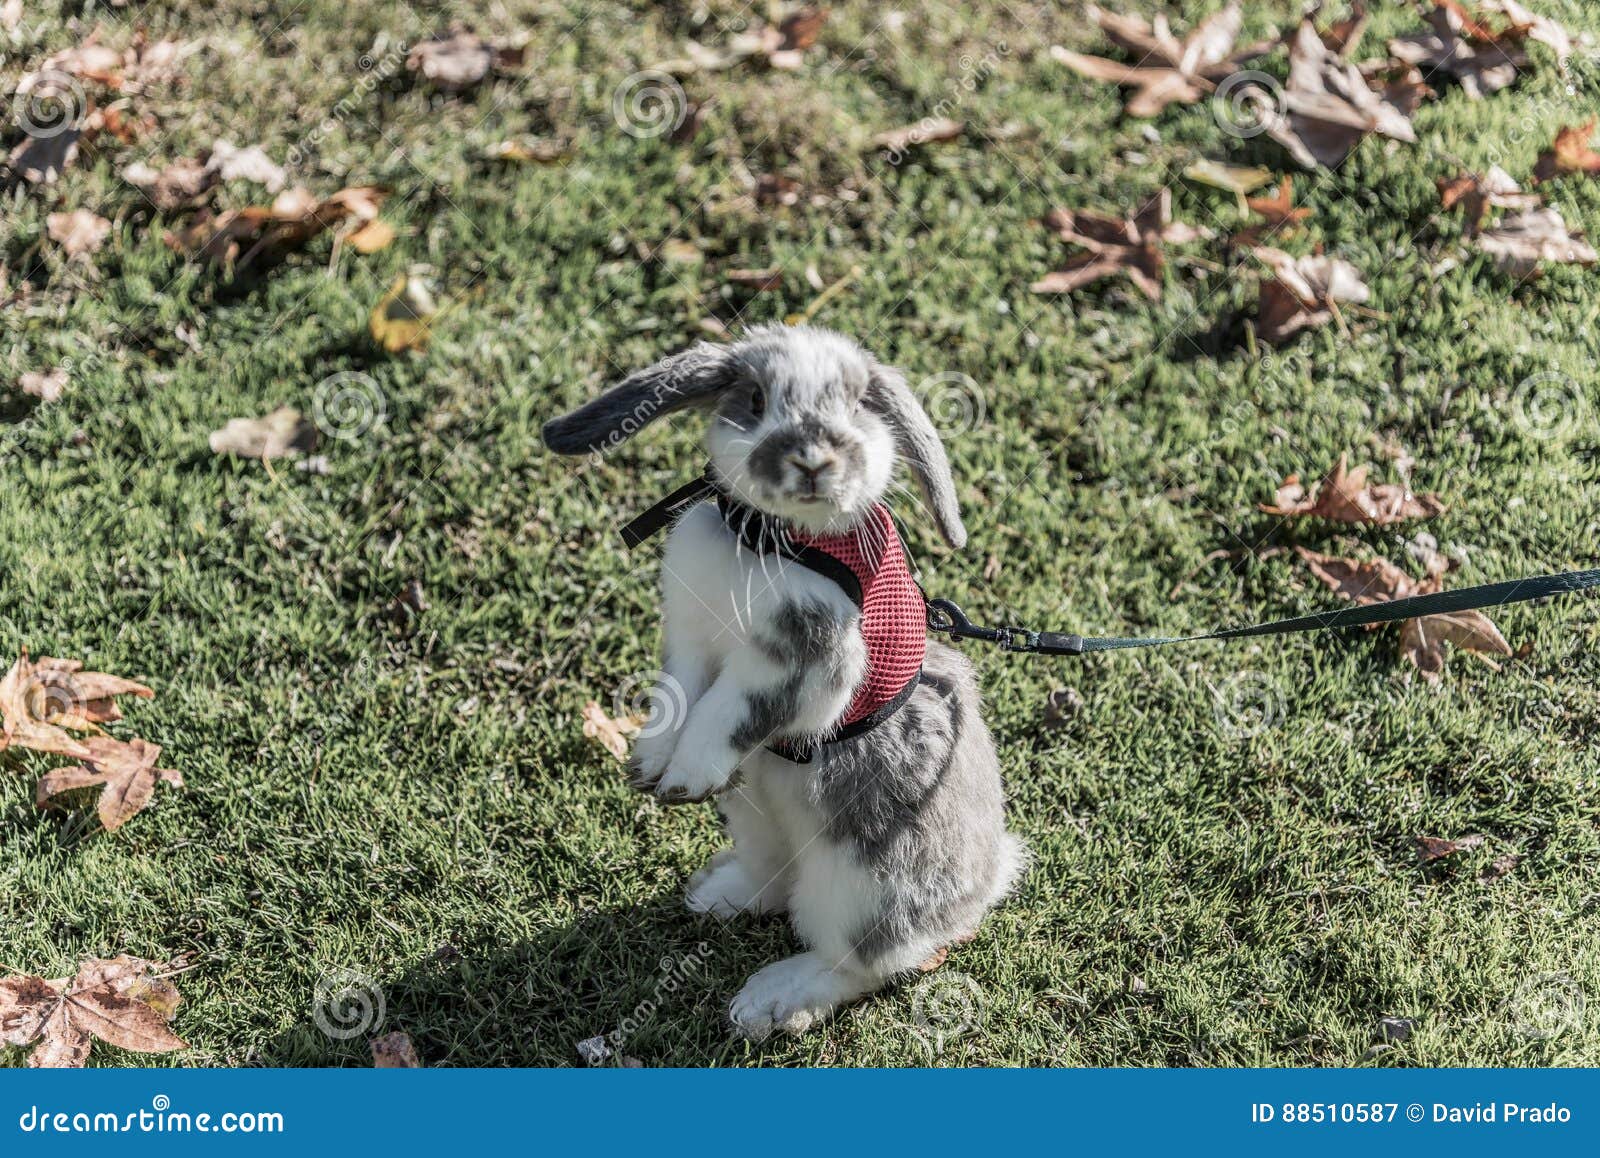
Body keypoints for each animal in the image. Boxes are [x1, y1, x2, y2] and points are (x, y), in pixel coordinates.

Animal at [543, 324, 1025, 1039]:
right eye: (754, 398)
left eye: (858, 405)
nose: (814, 461)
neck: (767, 537)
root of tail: (984, 886)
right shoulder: (688, 640)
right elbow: (677, 696)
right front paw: (651, 765)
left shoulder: (800, 662)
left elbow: (727, 710)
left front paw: (683, 778)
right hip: (754, 813)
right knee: (774, 879)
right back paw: (716, 893)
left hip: (859, 890)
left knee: (862, 960)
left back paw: (771, 1001)